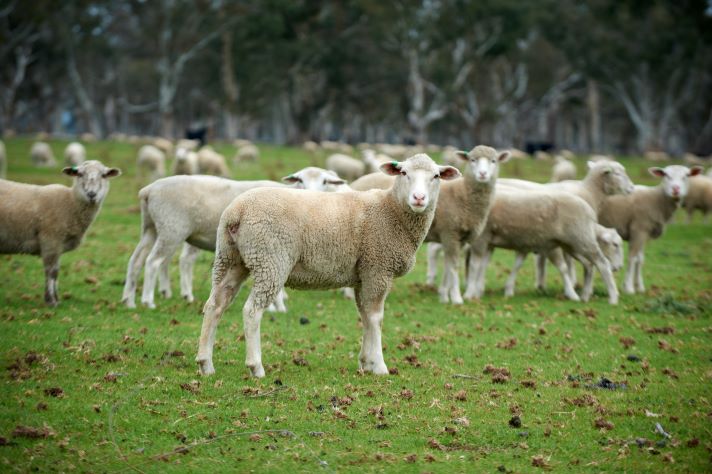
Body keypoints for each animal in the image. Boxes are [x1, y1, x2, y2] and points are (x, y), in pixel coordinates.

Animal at [0, 161, 121, 306]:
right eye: (79, 174)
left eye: (104, 175)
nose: (91, 194)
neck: (70, 203)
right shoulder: (51, 240)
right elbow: (51, 271)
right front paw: (51, 301)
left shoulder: (58, 245)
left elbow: (56, 271)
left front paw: (56, 298)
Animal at [121, 167, 347, 309]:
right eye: (300, 180)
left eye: (325, 181)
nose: (312, 194)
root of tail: (148, 190)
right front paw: (278, 305)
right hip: (171, 229)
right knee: (153, 261)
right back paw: (147, 301)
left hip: (150, 227)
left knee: (136, 260)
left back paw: (129, 300)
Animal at [195, 154, 460, 377]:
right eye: (403, 172)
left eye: (436, 176)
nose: (419, 198)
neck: (391, 211)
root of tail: (237, 211)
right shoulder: (378, 268)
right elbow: (376, 318)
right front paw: (379, 366)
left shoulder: (364, 273)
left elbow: (364, 316)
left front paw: (365, 362)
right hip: (270, 260)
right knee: (251, 310)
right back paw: (256, 367)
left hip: (231, 258)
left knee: (215, 305)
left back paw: (206, 364)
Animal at [466, 187, 620, 304]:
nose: (619, 267)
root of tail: (590, 211)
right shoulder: (489, 242)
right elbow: (483, 266)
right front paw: (478, 290)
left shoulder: (482, 238)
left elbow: (475, 265)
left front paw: (472, 292)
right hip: (572, 244)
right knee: (589, 265)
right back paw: (585, 296)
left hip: (582, 239)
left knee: (602, 263)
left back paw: (612, 297)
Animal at [599, 165, 703, 294]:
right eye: (666, 175)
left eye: (686, 175)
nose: (675, 189)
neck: (656, 199)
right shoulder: (638, 230)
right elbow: (632, 258)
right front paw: (629, 288)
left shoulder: (644, 234)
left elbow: (640, 259)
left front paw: (640, 287)